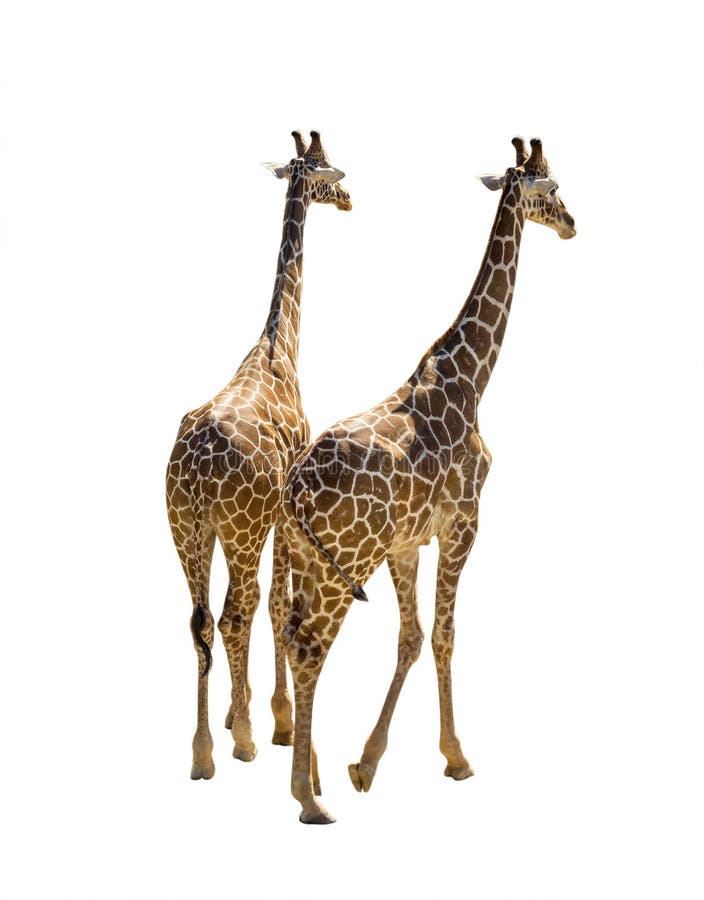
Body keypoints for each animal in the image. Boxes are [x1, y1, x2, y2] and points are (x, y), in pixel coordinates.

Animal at [166, 130, 351, 780]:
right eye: (325, 170)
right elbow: (274, 604)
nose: (348, 197)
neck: (279, 345)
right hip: (236, 530)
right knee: (231, 614)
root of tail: (195, 468)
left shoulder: (257, 520)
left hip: (188, 528)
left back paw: (203, 753)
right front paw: (276, 719)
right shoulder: (280, 515)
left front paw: (237, 712)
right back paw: (240, 744)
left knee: (200, 619)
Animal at [279, 137, 576, 823]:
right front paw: (457, 757)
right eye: (550, 189)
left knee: (288, 636)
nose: (574, 223)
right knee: (309, 649)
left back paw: (313, 780)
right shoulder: (464, 523)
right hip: (345, 566)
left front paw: (365, 764)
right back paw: (308, 801)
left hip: (310, 561)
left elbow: (410, 638)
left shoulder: (407, 543)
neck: (472, 376)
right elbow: (444, 635)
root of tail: (295, 490)